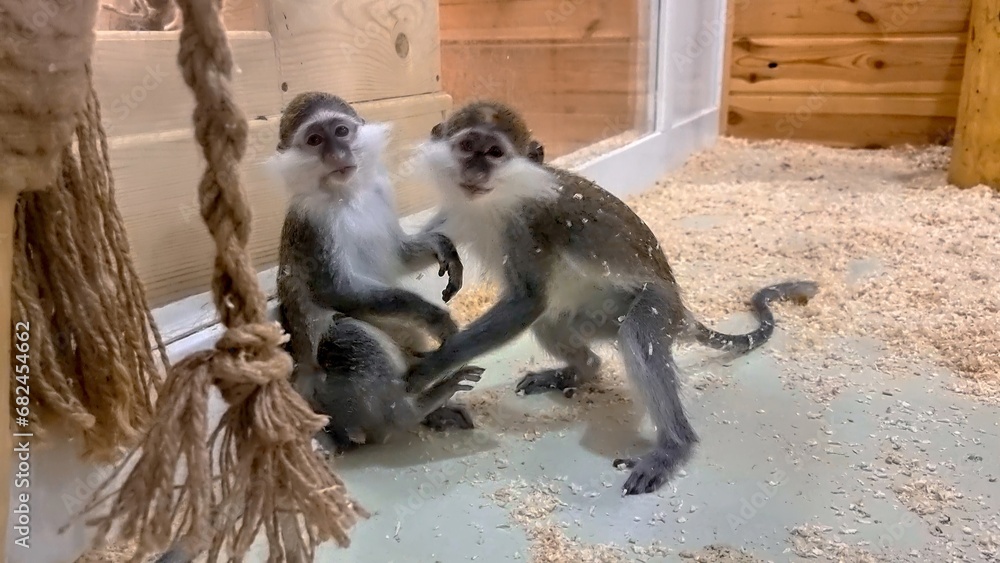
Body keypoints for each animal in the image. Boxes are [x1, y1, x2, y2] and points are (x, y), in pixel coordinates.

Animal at [404, 100, 819, 496]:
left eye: (494, 152)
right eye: (467, 147)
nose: (475, 169)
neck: (495, 201)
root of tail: (682, 311)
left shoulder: (529, 225)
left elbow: (528, 302)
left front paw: (430, 369)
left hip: (656, 306)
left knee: (637, 333)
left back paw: (675, 446)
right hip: (594, 316)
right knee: (553, 325)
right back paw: (582, 368)